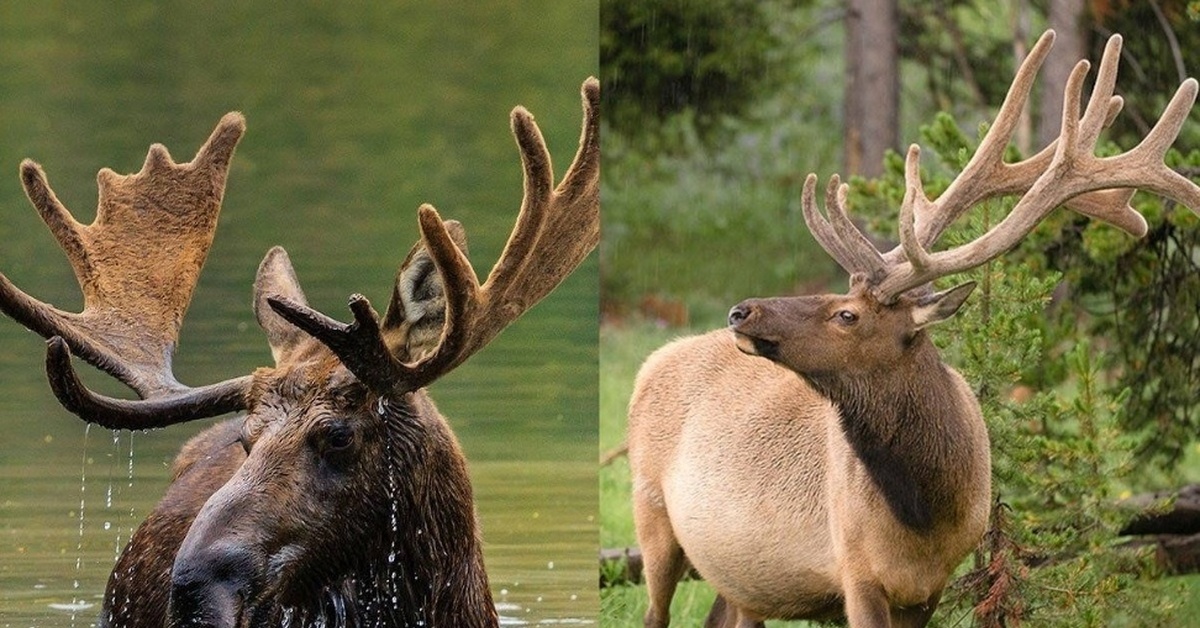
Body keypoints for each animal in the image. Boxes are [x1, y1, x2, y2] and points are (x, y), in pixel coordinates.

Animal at [626, 31, 1200, 628]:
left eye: (847, 314)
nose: (742, 311)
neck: (926, 513)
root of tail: (652, 362)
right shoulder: (855, 570)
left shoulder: (930, 588)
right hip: (649, 512)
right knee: (653, 610)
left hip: (737, 580)